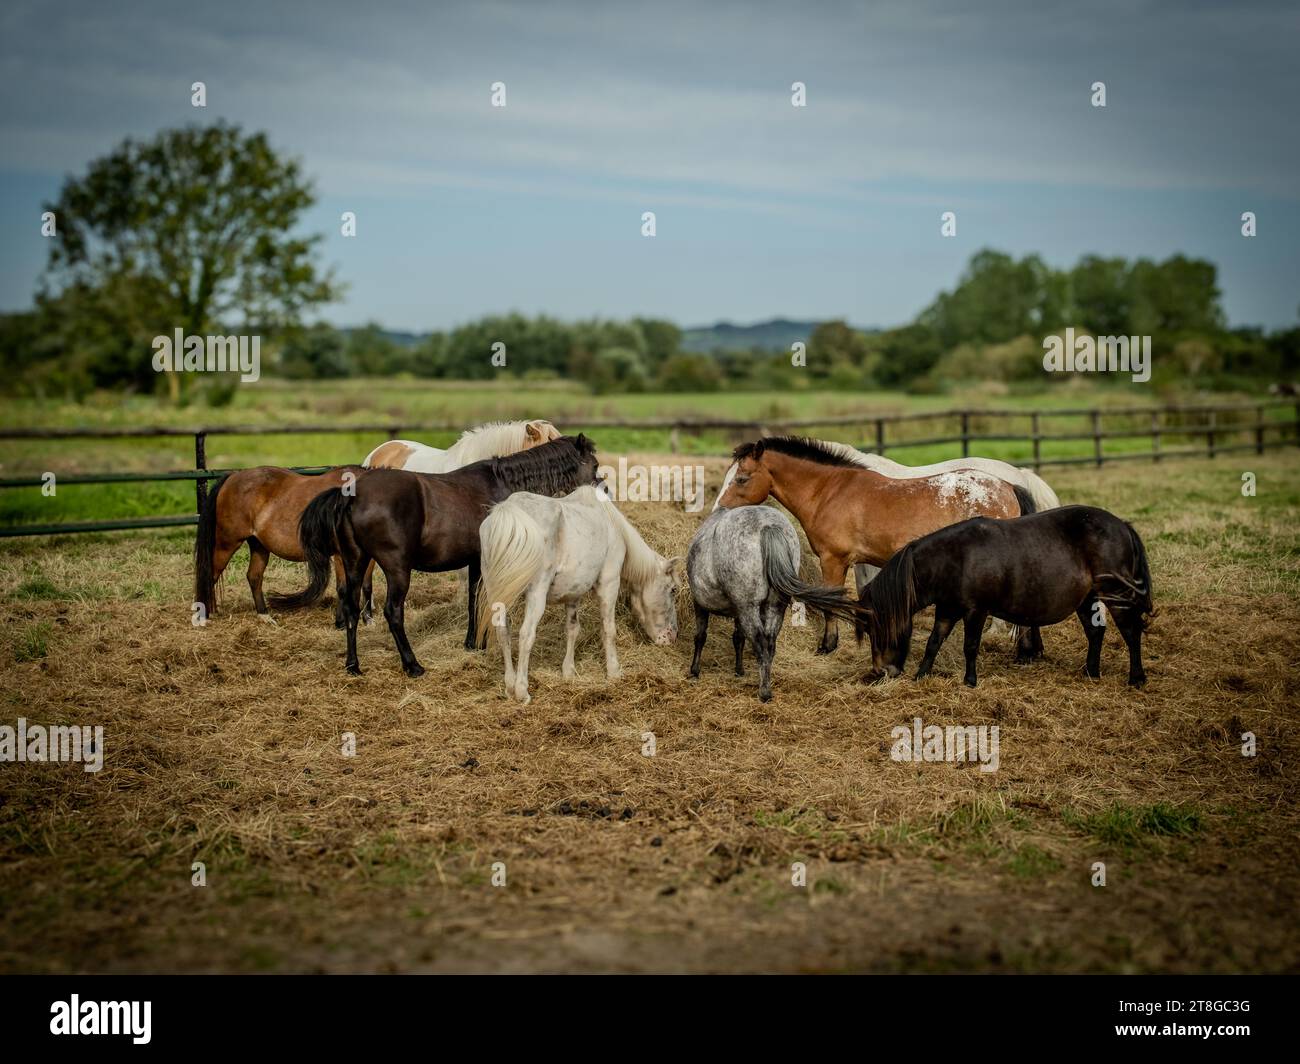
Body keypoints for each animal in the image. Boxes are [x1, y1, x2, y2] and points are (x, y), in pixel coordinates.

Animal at [269, 435, 602, 677]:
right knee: (393, 612)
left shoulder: (474, 562)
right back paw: (412, 664)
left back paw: (353, 665)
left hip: (355, 562)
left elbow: (472, 600)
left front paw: (472, 643)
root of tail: (351, 494)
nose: (605, 491)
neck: (502, 485)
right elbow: (485, 599)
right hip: (396, 569)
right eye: (595, 465)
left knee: (350, 608)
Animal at [474, 485, 679, 704]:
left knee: (503, 632)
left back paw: (510, 685)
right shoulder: (609, 584)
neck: (611, 524)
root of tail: (511, 510)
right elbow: (609, 630)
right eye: (673, 590)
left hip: (498, 594)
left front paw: (568, 671)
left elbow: (572, 629)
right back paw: (522, 691)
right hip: (536, 594)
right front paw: (614, 671)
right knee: (526, 634)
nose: (672, 636)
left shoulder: (573, 594)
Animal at [687, 505, 865, 702]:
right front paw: (739, 670)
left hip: (749, 607)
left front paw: (694, 671)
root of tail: (767, 526)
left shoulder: (701, 605)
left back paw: (764, 692)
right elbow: (738, 638)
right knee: (769, 644)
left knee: (761, 644)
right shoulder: (737, 612)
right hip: (774, 606)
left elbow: (700, 636)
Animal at [717, 436, 1035, 657]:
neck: (829, 491)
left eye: (742, 478)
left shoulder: (833, 560)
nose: (718, 511)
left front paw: (828, 645)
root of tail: (1009, 486)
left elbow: (831, 603)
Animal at [855, 505, 1154, 688]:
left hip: (1116, 595)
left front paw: (970, 680)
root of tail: (1123, 526)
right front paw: (921, 675)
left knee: (1131, 632)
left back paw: (1136, 678)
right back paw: (1091, 672)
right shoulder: (947, 609)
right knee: (1095, 633)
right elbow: (933, 642)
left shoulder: (976, 611)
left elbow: (970, 645)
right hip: (1087, 598)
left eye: (877, 627)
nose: (881, 671)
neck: (956, 558)